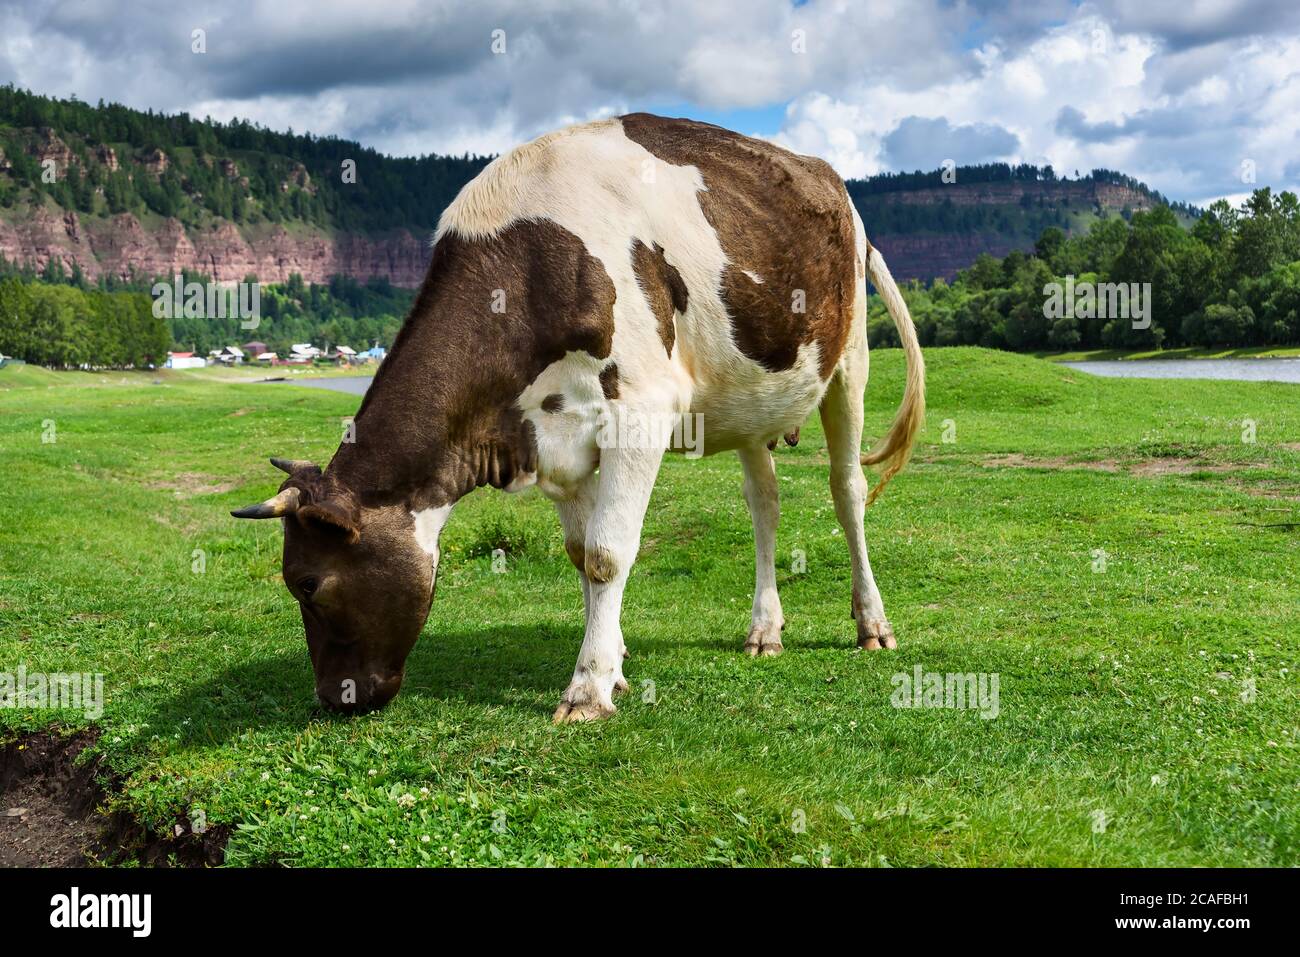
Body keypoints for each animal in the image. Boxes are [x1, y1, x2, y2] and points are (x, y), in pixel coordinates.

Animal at [232, 114, 925, 722]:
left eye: (306, 583)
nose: (332, 697)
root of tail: (833, 185)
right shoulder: (550, 437)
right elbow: (578, 552)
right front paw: (611, 660)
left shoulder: (641, 411)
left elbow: (607, 554)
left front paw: (588, 689)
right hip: (750, 398)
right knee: (765, 502)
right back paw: (765, 629)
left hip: (850, 361)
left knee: (847, 491)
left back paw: (872, 622)